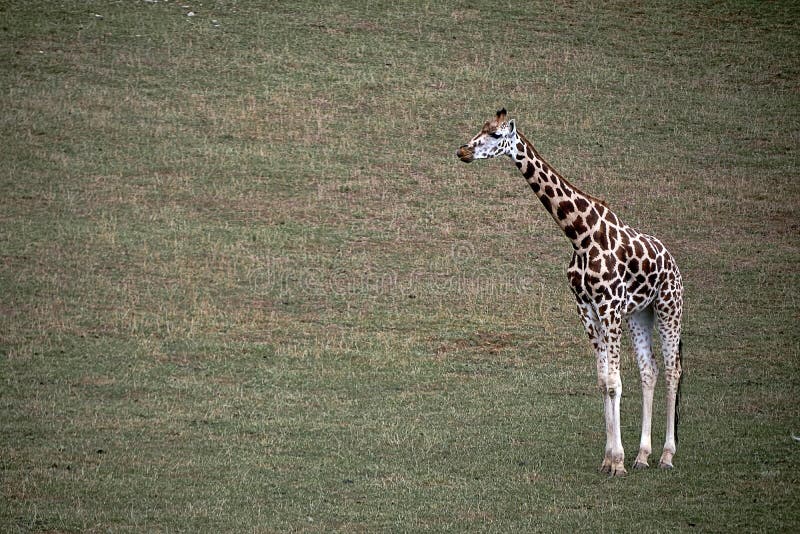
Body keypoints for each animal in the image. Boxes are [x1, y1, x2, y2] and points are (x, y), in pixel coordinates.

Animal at [456, 109, 684, 476]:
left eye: (495, 135)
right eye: (481, 128)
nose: (462, 151)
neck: (580, 234)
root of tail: (675, 263)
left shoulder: (609, 305)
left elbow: (614, 382)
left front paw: (617, 462)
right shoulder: (586, 307)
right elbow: (603, 381)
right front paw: (610, 458)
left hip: (668, 306)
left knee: (673, 369)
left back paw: (666, 455)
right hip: (640, 313)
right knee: (649, 370)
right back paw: (642, 455)